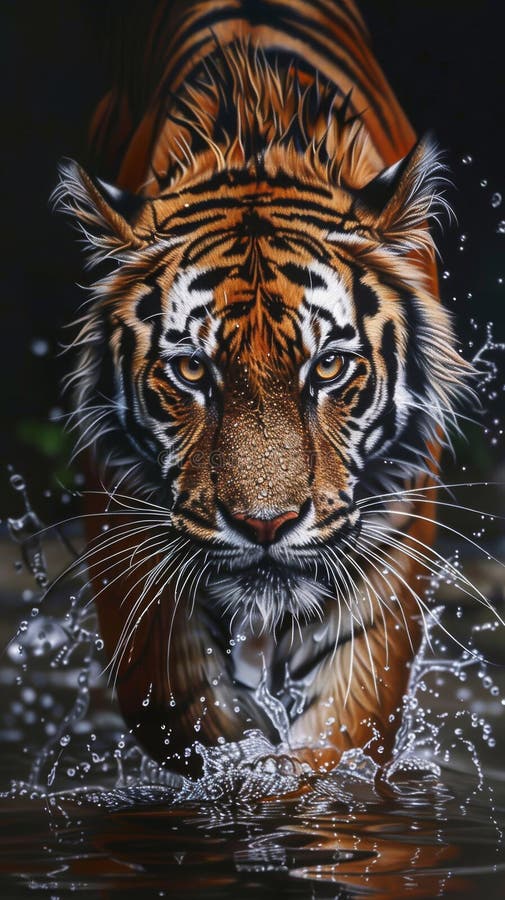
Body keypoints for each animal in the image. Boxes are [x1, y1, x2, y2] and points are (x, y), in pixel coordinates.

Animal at [54, 0, 472, 777]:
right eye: (191, 370)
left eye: (328, 368)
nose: (266, 527)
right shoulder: (128, 532)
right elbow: (178, 706)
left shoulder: (388, 545)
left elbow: (340, 736)